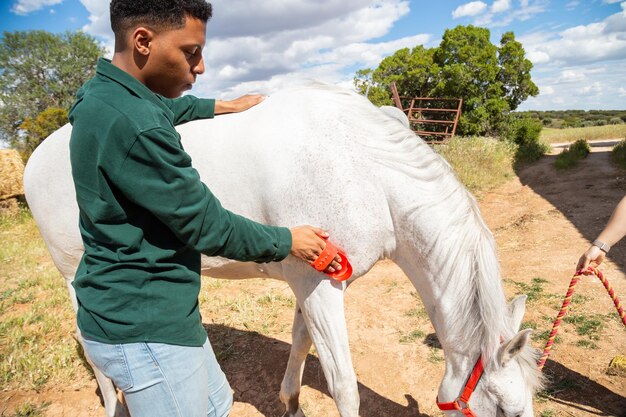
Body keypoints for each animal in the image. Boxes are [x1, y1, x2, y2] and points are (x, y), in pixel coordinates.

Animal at [24, 84, 540, 416]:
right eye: (507, 411)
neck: (367, 170)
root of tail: (35, 159)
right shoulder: (321, 287)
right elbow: (343, 386)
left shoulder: (310, 284)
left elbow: (300, 342)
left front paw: (290, 402)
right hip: (76, 276)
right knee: (94, 346)